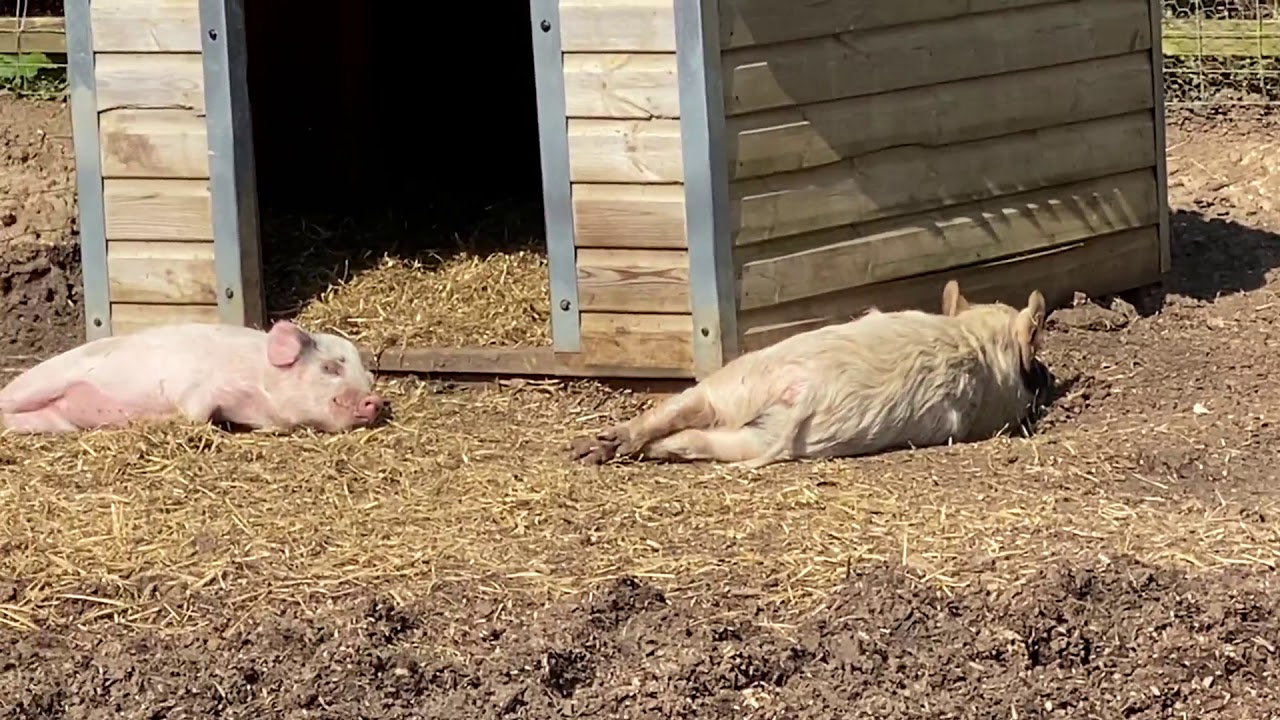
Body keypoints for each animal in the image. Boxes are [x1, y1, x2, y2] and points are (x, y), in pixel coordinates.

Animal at [0, 320, 385, 434]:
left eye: (367, 379)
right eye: (330, 368)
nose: (375, 400)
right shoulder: (199, 388)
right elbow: (196, 413)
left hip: (54, 421)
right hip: (40, 382)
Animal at [569, 280, 1049, 469]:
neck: (977, 341)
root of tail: (803, 390)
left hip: (743, 400)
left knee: (685, 429)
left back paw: (598, 449)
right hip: (747, 390)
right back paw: (596, 449)